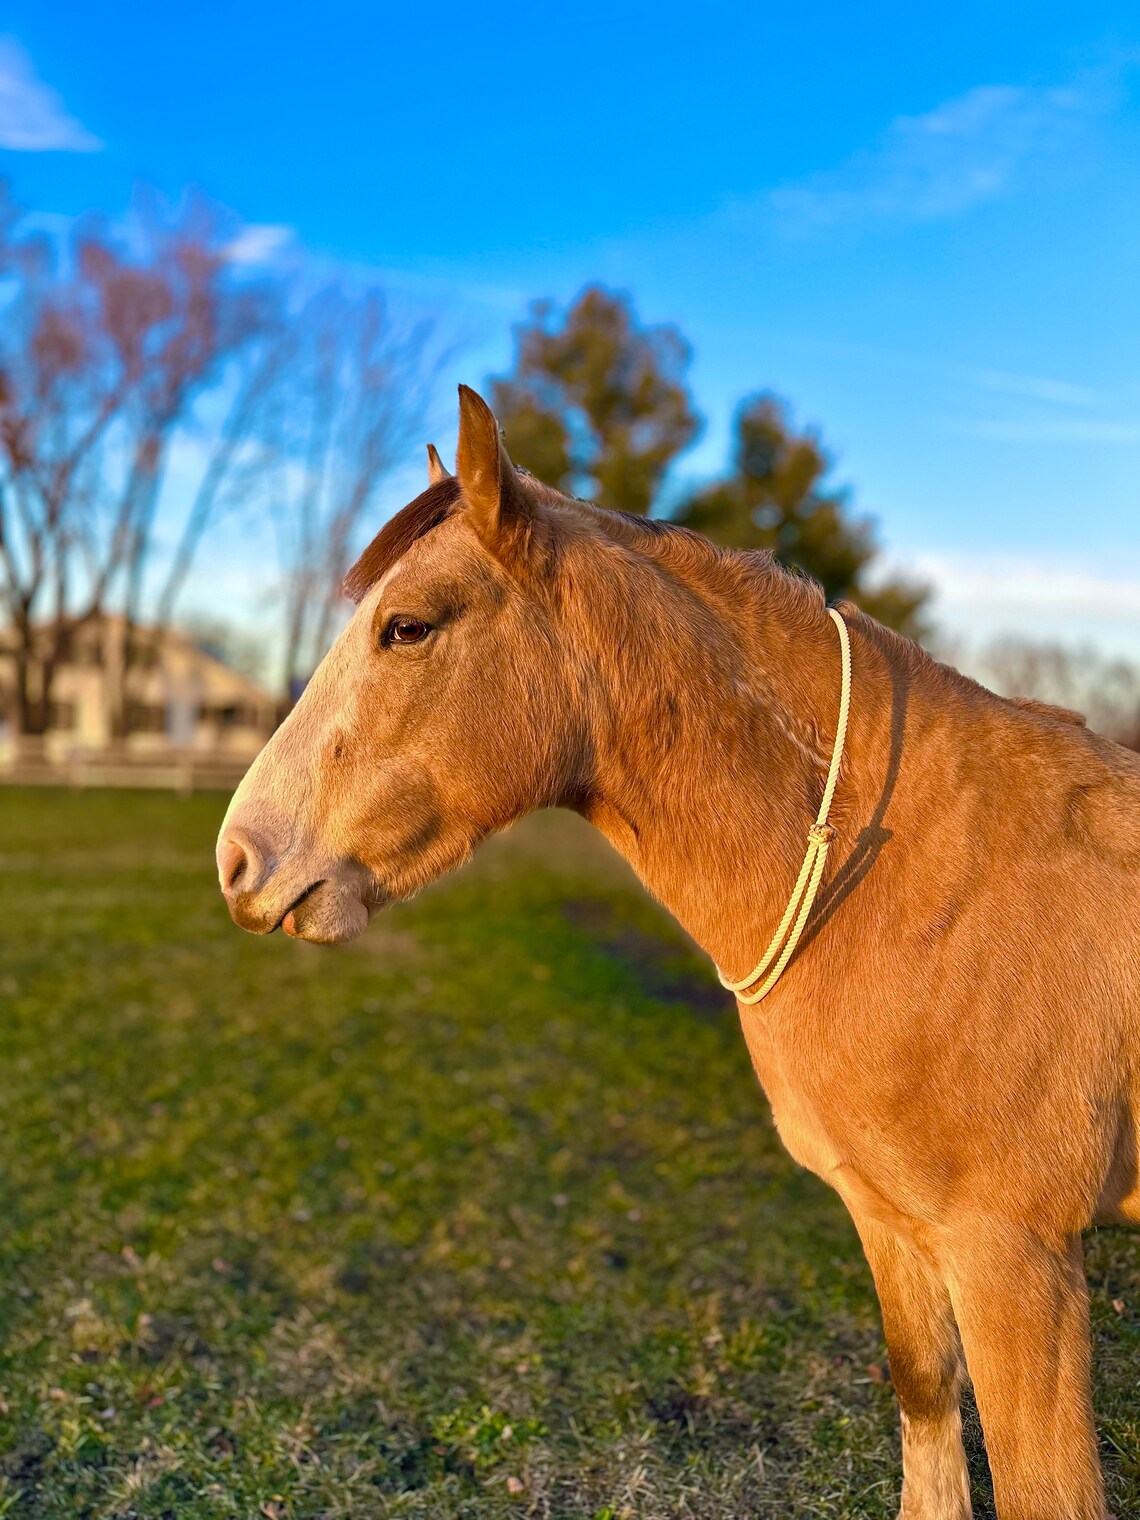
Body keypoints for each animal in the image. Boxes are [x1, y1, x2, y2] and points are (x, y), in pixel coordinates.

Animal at [218, 384, 1140, 1520]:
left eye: (408, 626)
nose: (239, 860)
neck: (924, 877)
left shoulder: (1016, 1258)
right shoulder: (894, 1222)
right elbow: (927, 1406)